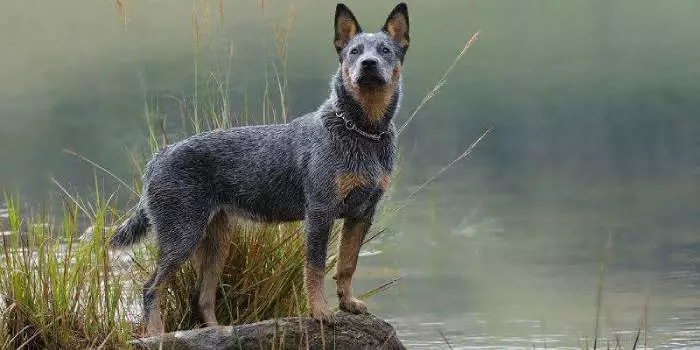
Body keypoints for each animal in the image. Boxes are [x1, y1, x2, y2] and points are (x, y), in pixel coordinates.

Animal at [110, 2, 410, 336]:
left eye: (385, 50)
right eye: (354, 51)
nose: (369, 64)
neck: (362, 132)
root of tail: (159, 156)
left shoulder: (362, 214)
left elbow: (347, 265)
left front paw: (347, 303)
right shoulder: (320, 213)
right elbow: (316, 268)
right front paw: (320, 311)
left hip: (215, 240)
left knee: (201, 295)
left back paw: (219, 332)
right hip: (181, 235)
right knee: (152, 287)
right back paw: (156, 334)